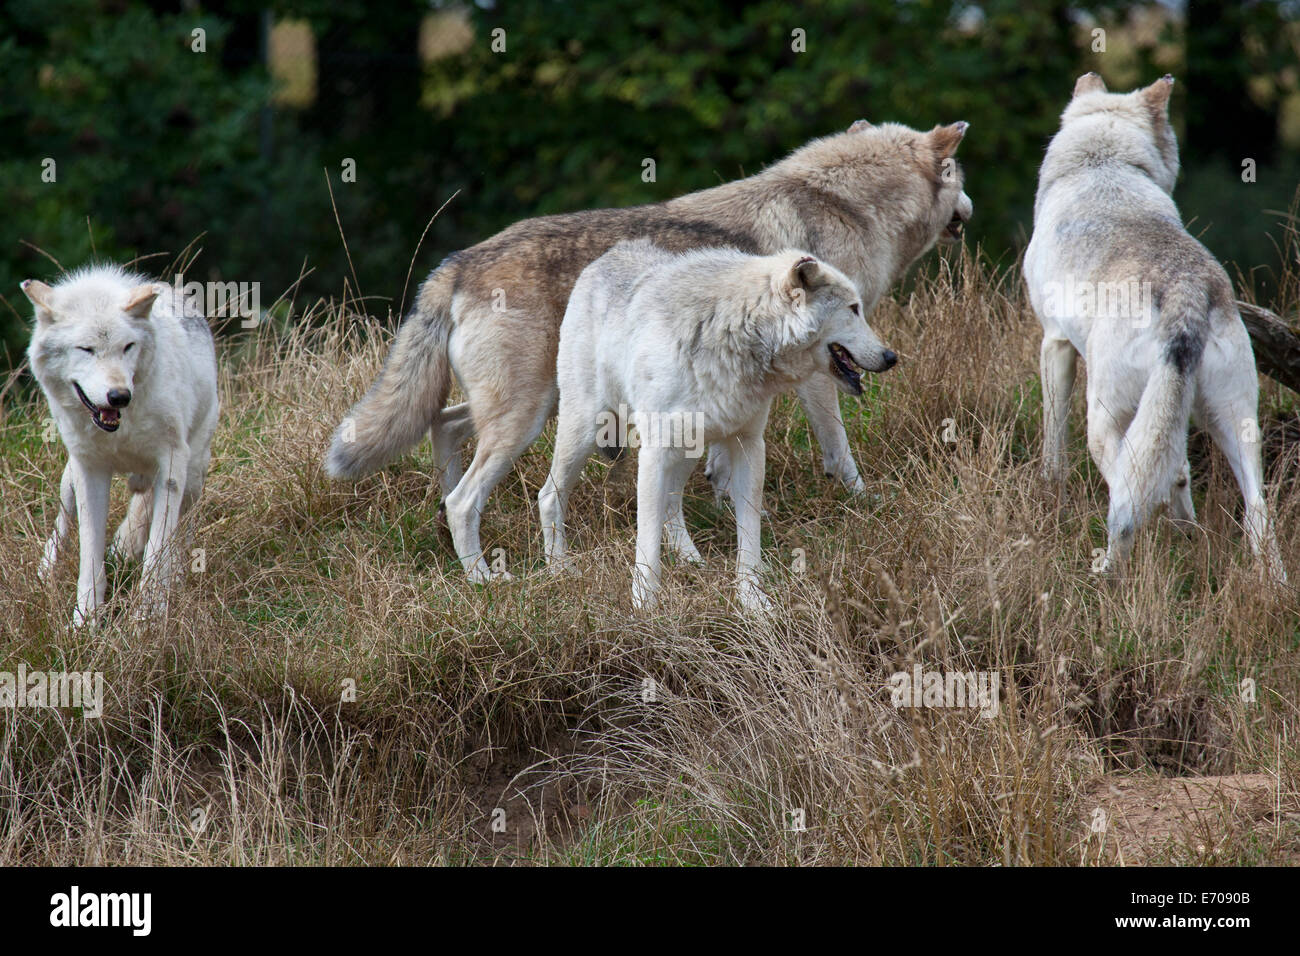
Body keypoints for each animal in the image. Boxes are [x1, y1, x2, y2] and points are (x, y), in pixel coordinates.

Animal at [23, 265, 220, 625]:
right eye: (86, 349)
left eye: (128, 347)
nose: (119, 396)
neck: (121, 430)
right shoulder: (90, 470)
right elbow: (90, 555)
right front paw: (84, 623)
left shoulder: (171, 466)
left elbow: (157, 554)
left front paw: (147, 621)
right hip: (70, 478)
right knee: (62, 525)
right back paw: (45, 575)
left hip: (193, 477)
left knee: (179, 534)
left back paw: (178, 576)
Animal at [540, 240, 895, 612]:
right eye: (853, 309)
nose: (891, 357)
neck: (734, 330)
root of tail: (610, 254)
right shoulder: (654, 451)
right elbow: (647, 540)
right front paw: (645, 606)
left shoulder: (749, 444)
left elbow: (749, 537)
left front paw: (753, 602)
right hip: (587, 430)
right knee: (548, 496)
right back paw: (559, 568)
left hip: (688, 449)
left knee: (671, 505)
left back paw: (691, 560)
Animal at [1024, 73, 1285, 581]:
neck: (1102, 162)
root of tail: (1186, 294)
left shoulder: (1055, 344)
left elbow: (1052, 439)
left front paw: (1048, 489)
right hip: (1233, 420)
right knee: (1255, 513)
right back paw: (1261, 577)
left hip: (1105, 418)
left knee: (1131, 496)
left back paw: (1111, 570)